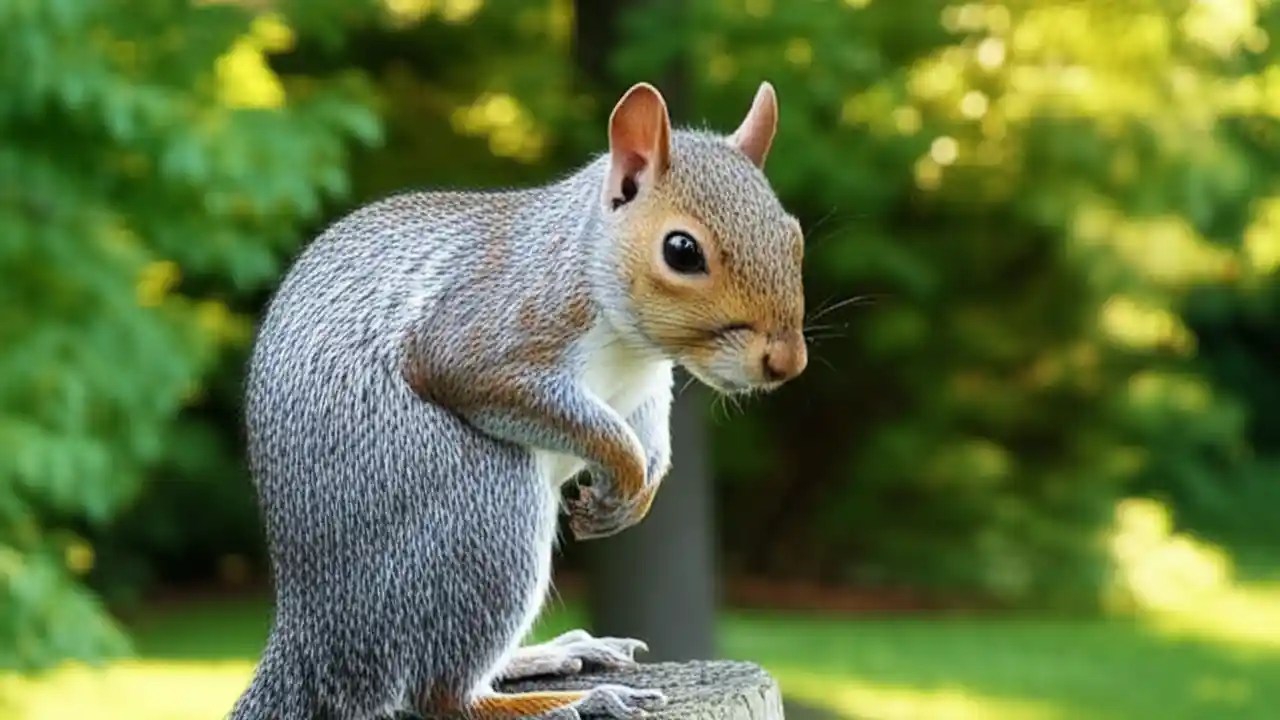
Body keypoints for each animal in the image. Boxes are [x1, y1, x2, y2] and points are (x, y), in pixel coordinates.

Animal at [229, 81, 807, 720]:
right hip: (483, 514)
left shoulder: (647, 391)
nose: (788, 362)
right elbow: (512, 391)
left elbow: (653, 439)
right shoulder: (492, 335)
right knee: (442, 696)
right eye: (682, 251)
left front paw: (639, 492)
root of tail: (314, 640)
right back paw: (573, 701)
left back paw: (550, 655)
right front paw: (626, 468)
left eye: (794, 235)